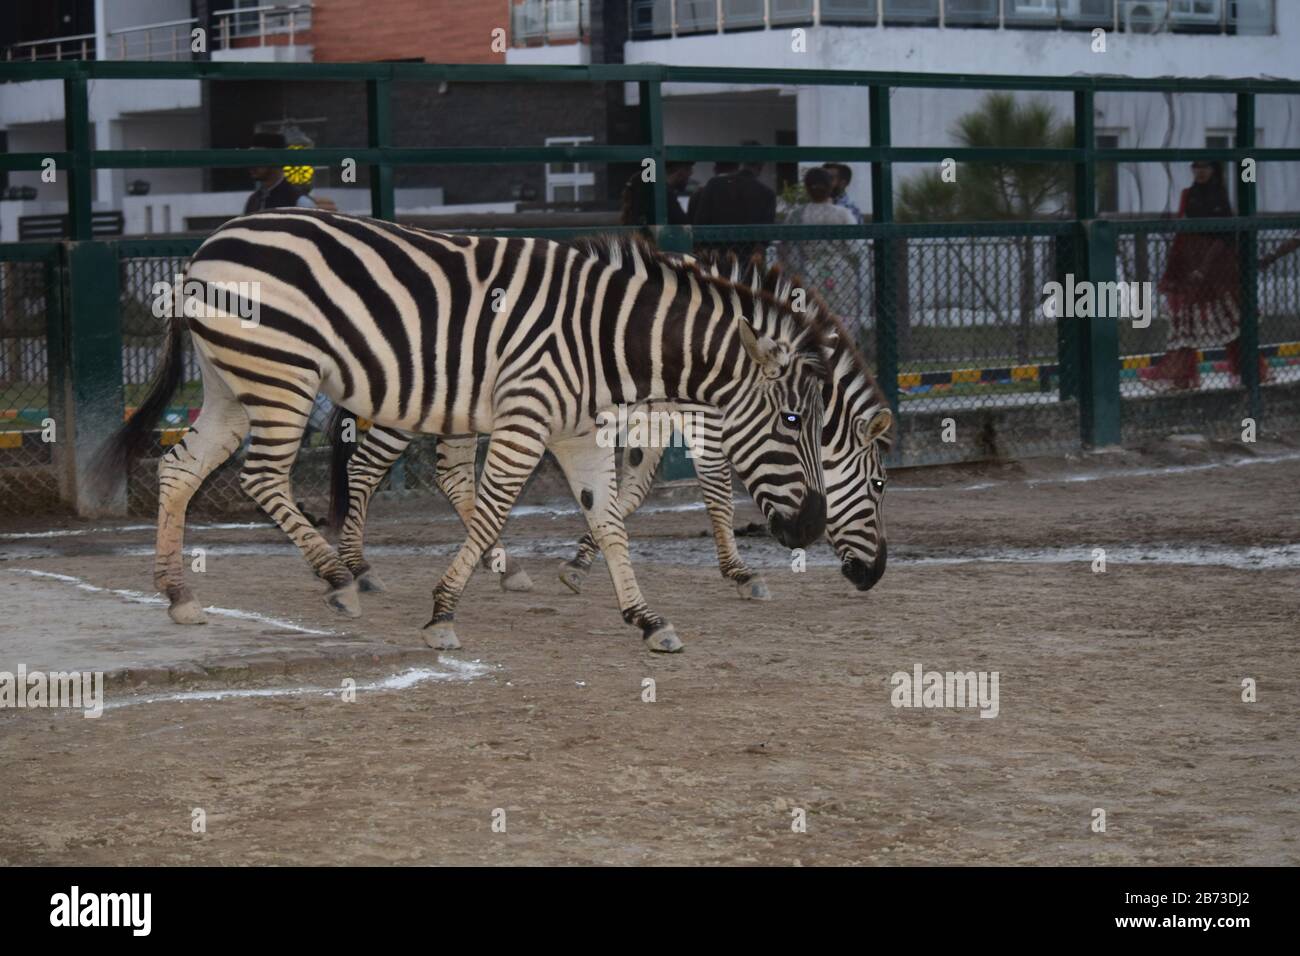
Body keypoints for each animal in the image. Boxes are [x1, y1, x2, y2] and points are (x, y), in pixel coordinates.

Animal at [95, 209, 834, 653]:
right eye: (793, 421)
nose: (809, 532)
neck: (605, 340)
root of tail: (205, 246)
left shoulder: (579, 434)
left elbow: (609, 522)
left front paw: (646, 619)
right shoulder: (528, 417)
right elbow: (492, 510)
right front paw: (443, 613)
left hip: (231, 385)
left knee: (180, 469)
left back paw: (179, 595)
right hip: (281, 377)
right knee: (261, 476)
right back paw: (335, 576)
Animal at [328, 254, 893, 603]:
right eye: (878, 485)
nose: (875, 575)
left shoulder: (653, 420)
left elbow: (632, 492)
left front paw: (579, 562)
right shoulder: (702, 420)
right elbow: (715, 490)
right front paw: (741, 573)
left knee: (452, 476)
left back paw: (504, 567)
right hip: (409, 404)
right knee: (367, 467)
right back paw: (360, 568)